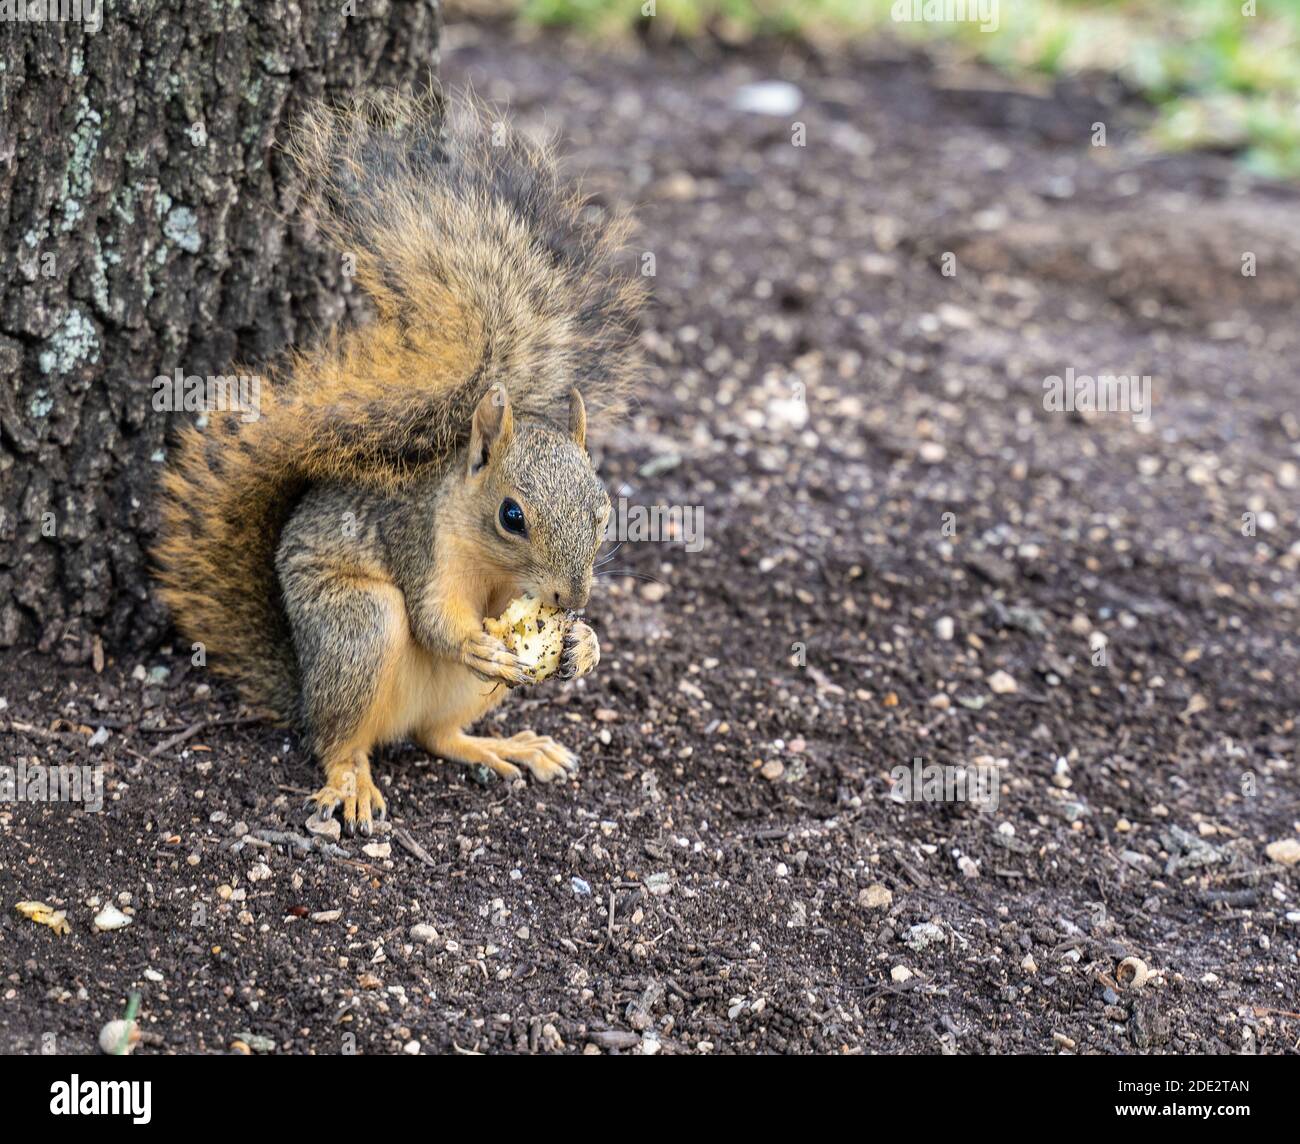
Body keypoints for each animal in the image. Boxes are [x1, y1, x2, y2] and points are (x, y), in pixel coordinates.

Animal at [153, 91, 646, 834]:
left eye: (603, 512)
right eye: (511, 516)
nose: (573, 598)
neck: (491, 566)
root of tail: (303, 688)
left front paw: (583, 643)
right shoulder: (421, 544)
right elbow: (433, 614)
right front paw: (474, 639)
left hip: (464, 698)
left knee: (437, 736)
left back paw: (505, 746)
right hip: (357, 628)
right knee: (339, 738)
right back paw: (352, 778)